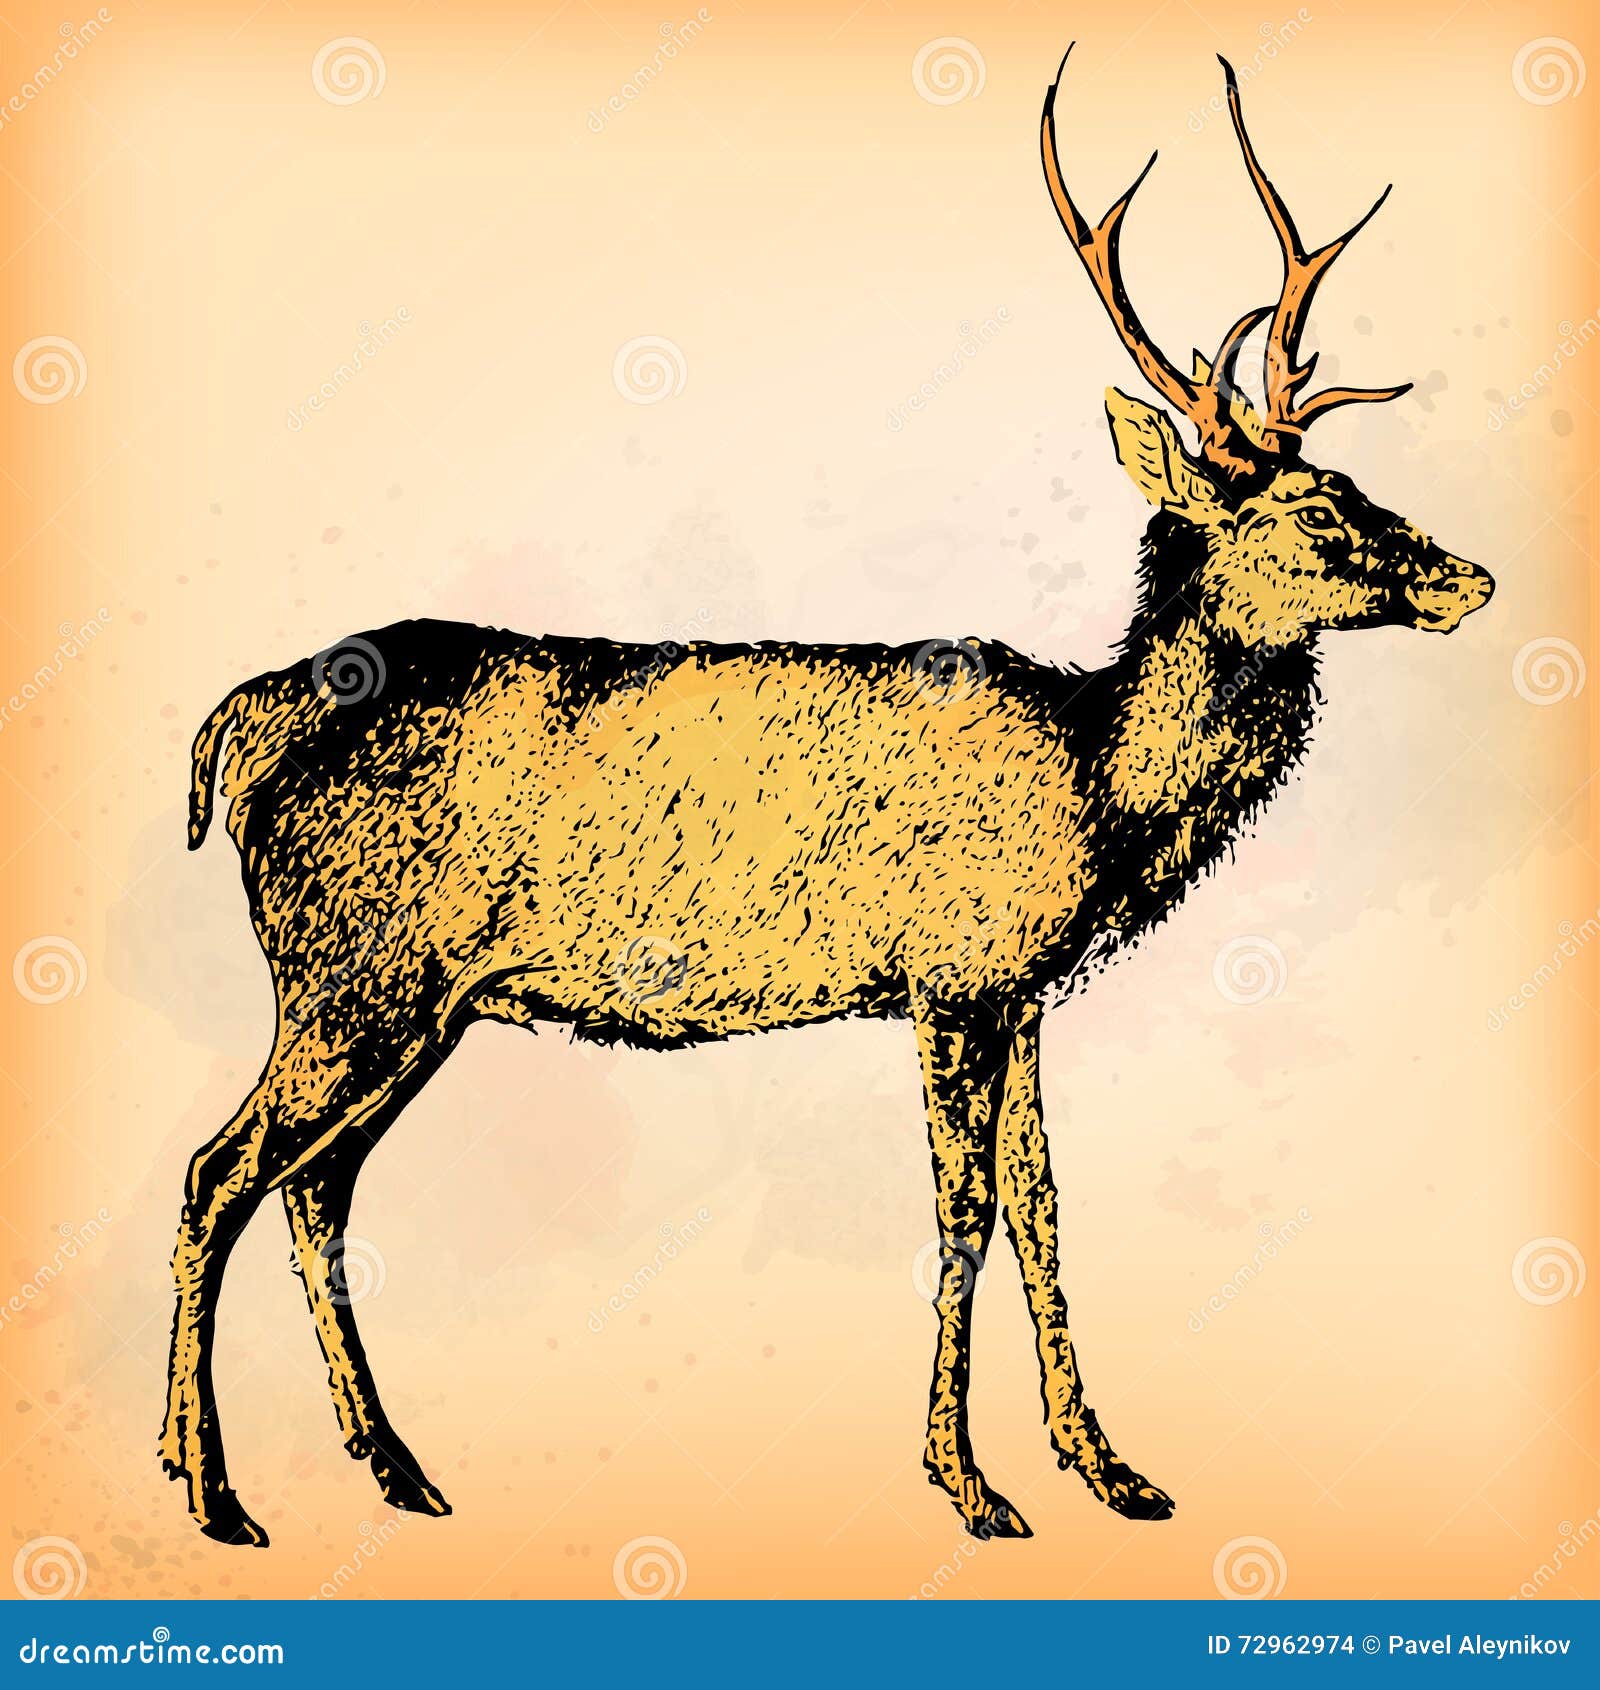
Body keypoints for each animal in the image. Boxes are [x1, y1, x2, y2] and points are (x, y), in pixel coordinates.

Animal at [162, 48, 1493, 1548]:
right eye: (1315, 513)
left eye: (1358, 483)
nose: (1469, 576)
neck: (1094, 786)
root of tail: (242, 720)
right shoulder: (952, 969)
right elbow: (965, 1212)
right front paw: (970, 1483)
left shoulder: (1022, 989)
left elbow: (1044, 1209)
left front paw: (1113, 1469)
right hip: (352, 970)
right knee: (219, 1172)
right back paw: (212, 1487)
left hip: (409, 999)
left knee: (313, 1185)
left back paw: (392, 1464)